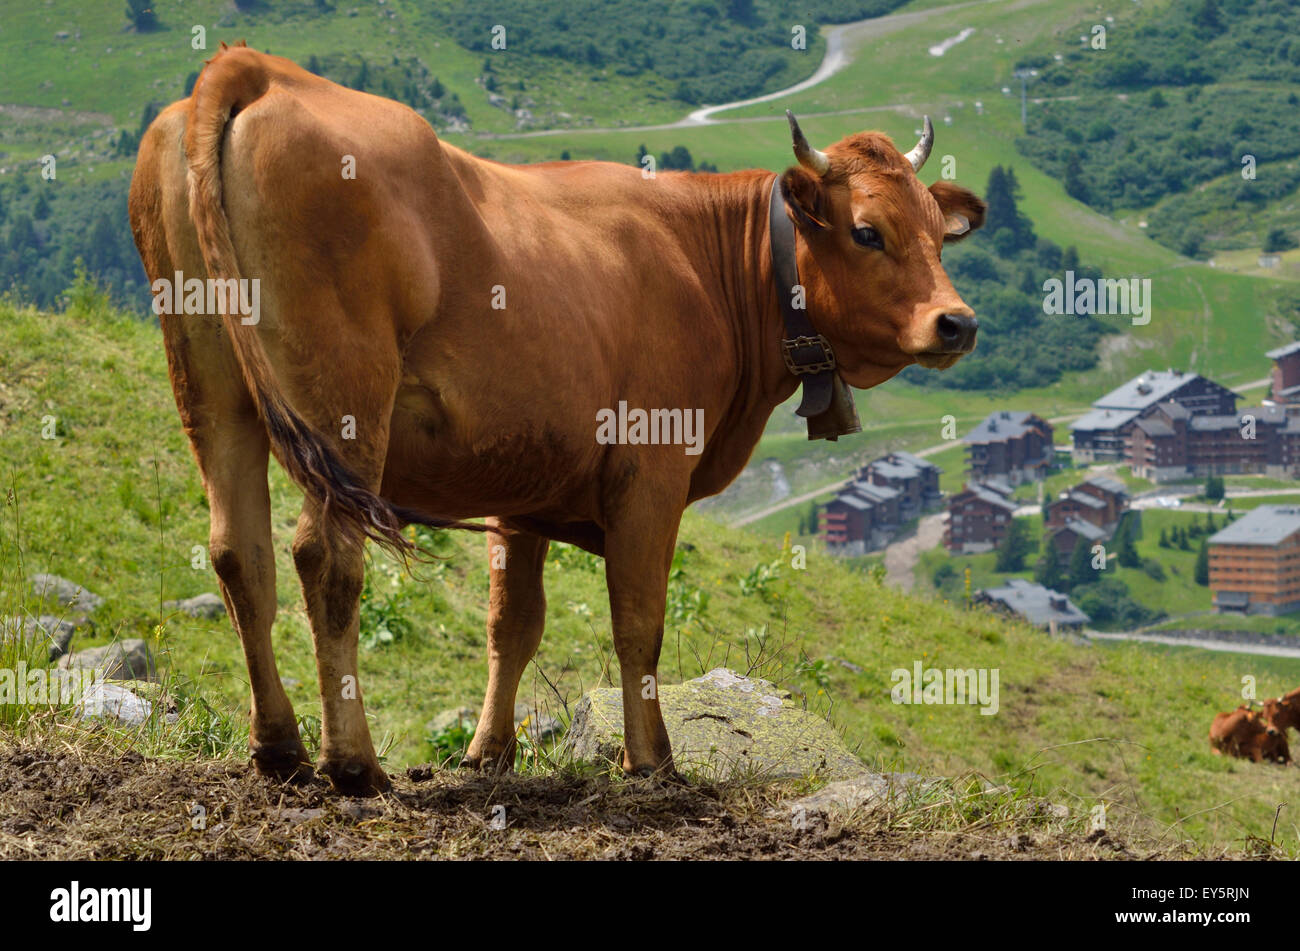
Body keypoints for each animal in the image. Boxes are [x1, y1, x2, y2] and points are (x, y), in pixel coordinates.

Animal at [128, 43, 986, 794]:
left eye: (937, 234)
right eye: (868, 231)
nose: (957, 323)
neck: (706, 259)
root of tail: (260, 69)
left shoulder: (521, 487)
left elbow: (513, 624)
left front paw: (489, 752)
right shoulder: (652, 470)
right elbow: (639, 620)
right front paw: (652, 759)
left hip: (213, 389)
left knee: (241, 554)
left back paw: (279, 748)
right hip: (346, 402)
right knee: (325, 558)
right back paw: (353, 763)